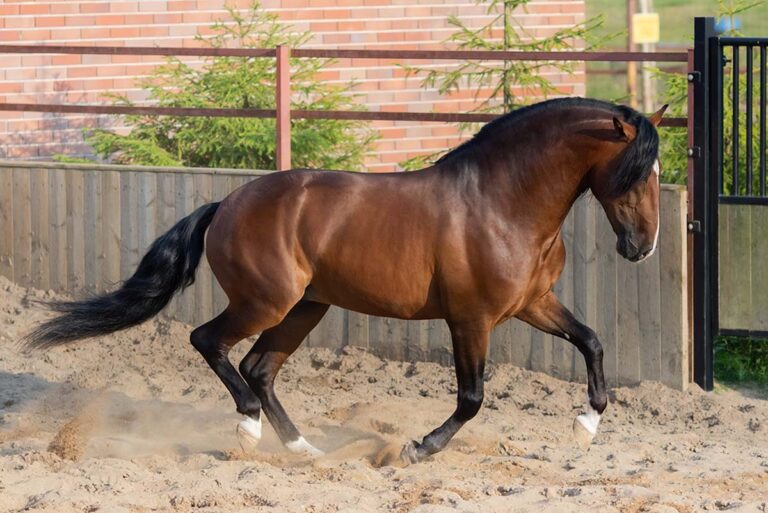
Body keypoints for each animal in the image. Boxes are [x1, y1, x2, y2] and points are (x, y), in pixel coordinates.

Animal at [23, 97, 667, 464]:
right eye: (634, 171)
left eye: (657, 172)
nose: (641, 247)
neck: (500, 201)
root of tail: (226, 203)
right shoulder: (471, 318)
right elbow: (472, 398)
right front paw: (417, 448)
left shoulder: (533, 302)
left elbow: (592, 341)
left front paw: (587, 426)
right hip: (267, 301)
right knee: (210, 343)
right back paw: (250, 432)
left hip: (306, 307)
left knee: (259, 368)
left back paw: (303, 448)